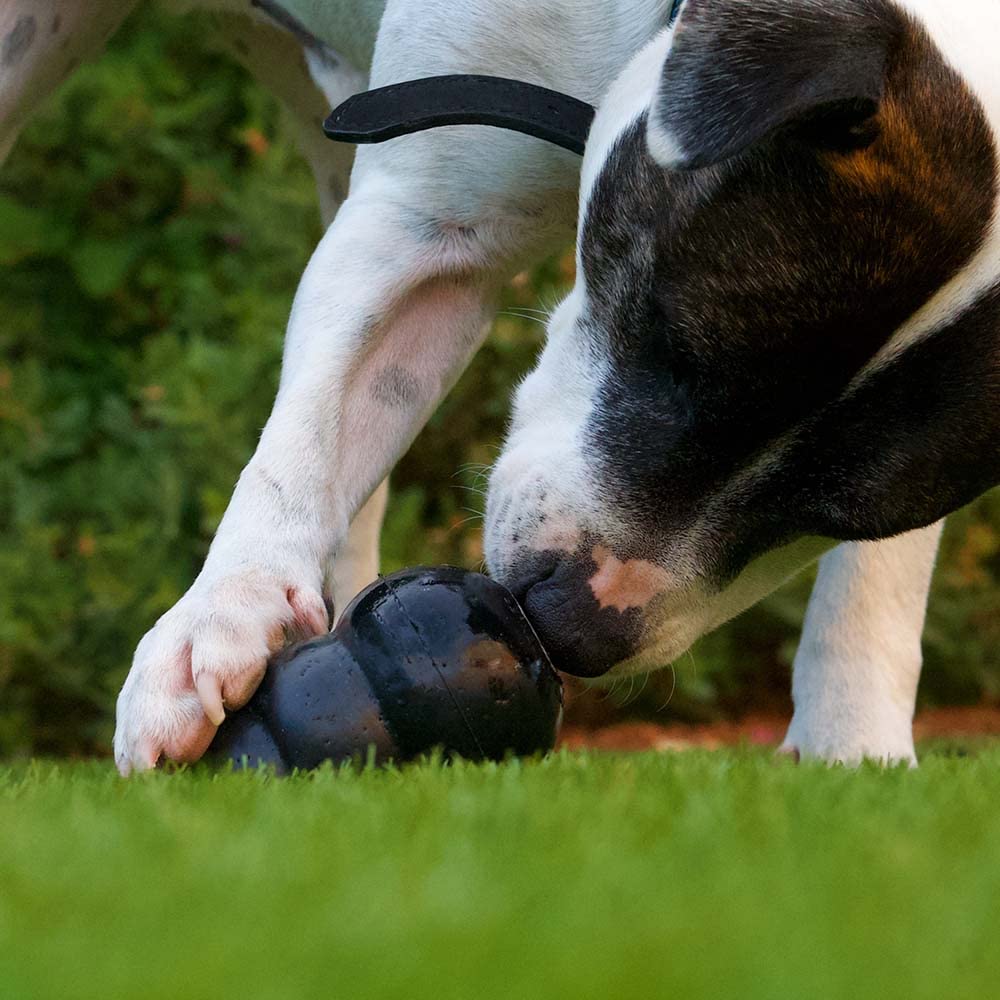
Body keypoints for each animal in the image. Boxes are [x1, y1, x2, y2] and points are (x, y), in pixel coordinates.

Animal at [3, 0, 996, 772]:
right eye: (669, 346)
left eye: (845, 507)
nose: (572, 625)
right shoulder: (422, 226)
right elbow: (303, 444)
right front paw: (221, 616)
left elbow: (876, 579)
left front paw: (851, 752)